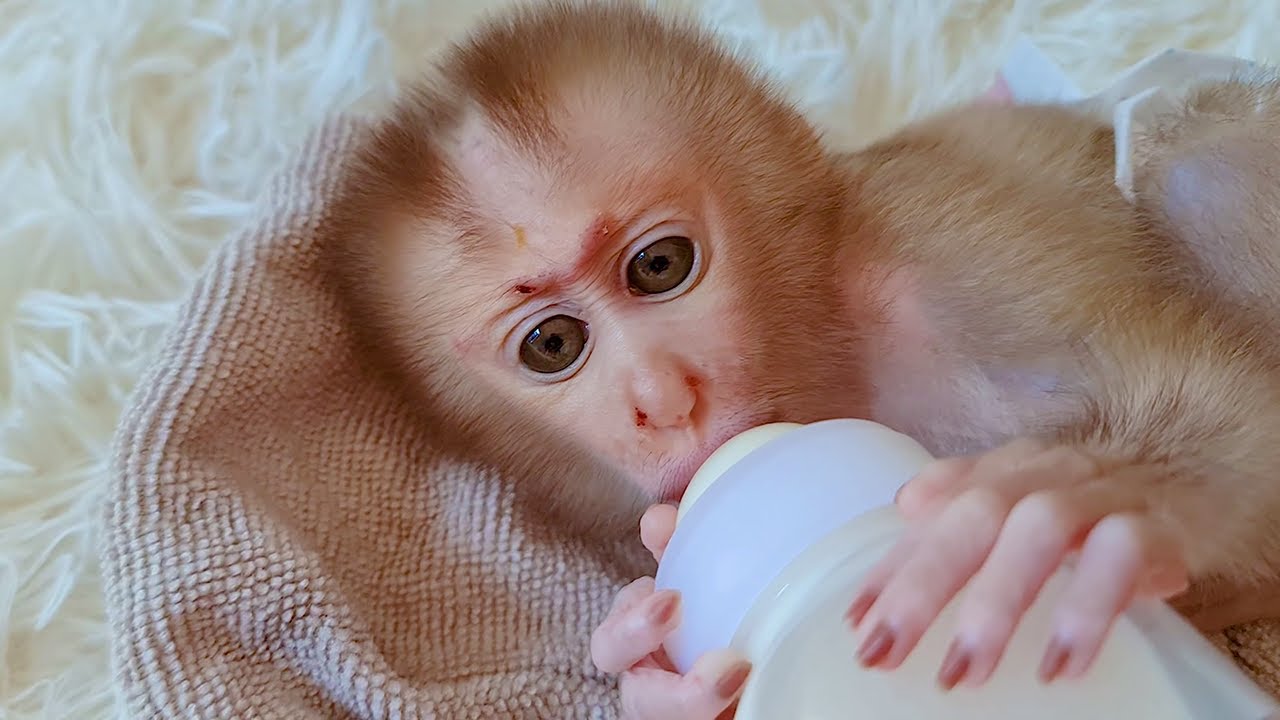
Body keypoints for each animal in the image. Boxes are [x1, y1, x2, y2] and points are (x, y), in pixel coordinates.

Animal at [323, 2, 1280, 718]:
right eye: (552, 346)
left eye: (659, 265)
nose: (664, 402)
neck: (834, 347)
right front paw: (649, 671)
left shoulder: (947, 242)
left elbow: (1235, 411)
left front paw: (1089, 494)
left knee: (1192, 161)